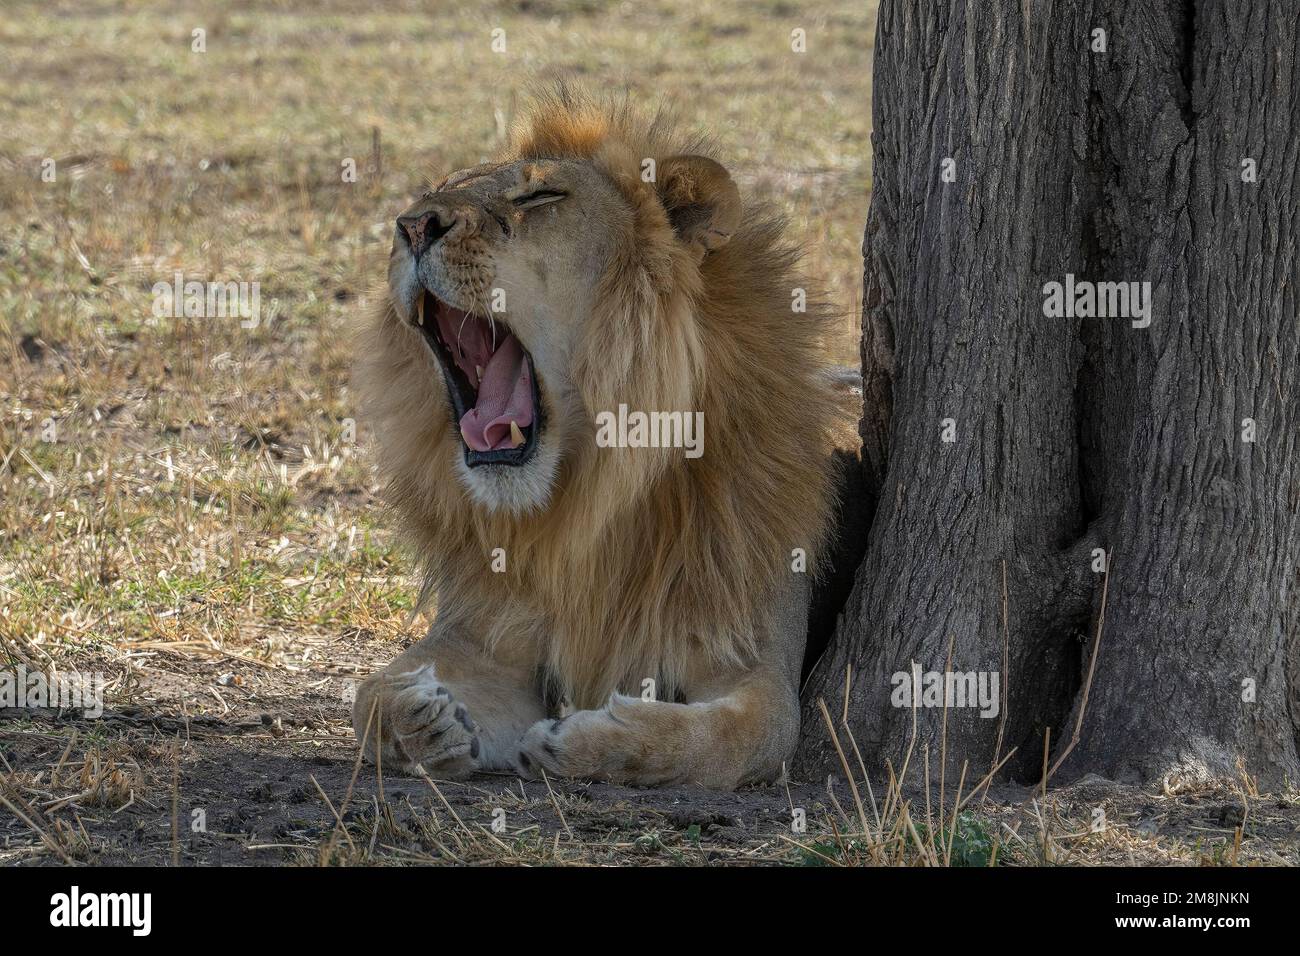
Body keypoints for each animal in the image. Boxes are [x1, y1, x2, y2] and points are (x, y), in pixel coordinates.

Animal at [351, 87, 850, 789]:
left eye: (540, 197)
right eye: (432, 193)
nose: (412, 226)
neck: (593, 489)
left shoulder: (756, 663)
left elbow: (733, 737)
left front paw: (587, 740)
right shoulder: (488, 638)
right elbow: (369, 696)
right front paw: (422, 720)